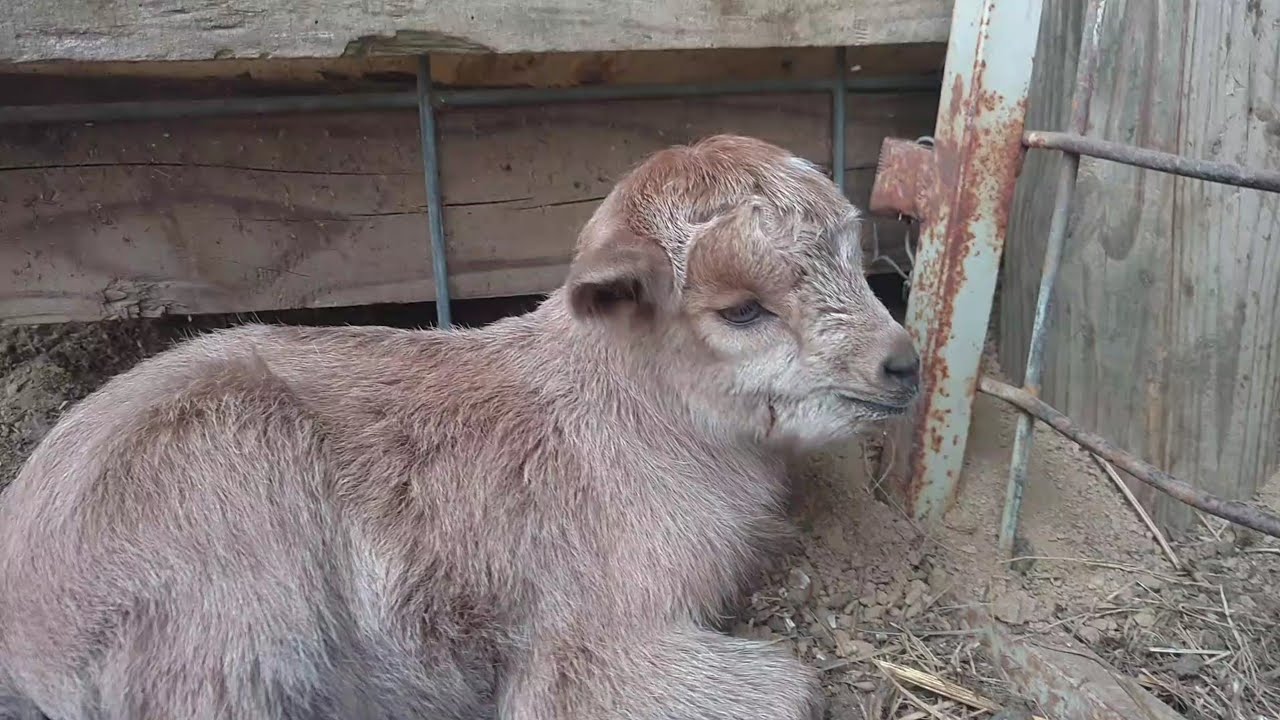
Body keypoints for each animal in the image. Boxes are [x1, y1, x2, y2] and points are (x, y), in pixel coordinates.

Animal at [0, 135, 919, 720]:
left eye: (854, 260)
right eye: (741, 311)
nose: (903, 363)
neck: (625, 423)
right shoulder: (593, 638)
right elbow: (790, 688)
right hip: (221, 572)